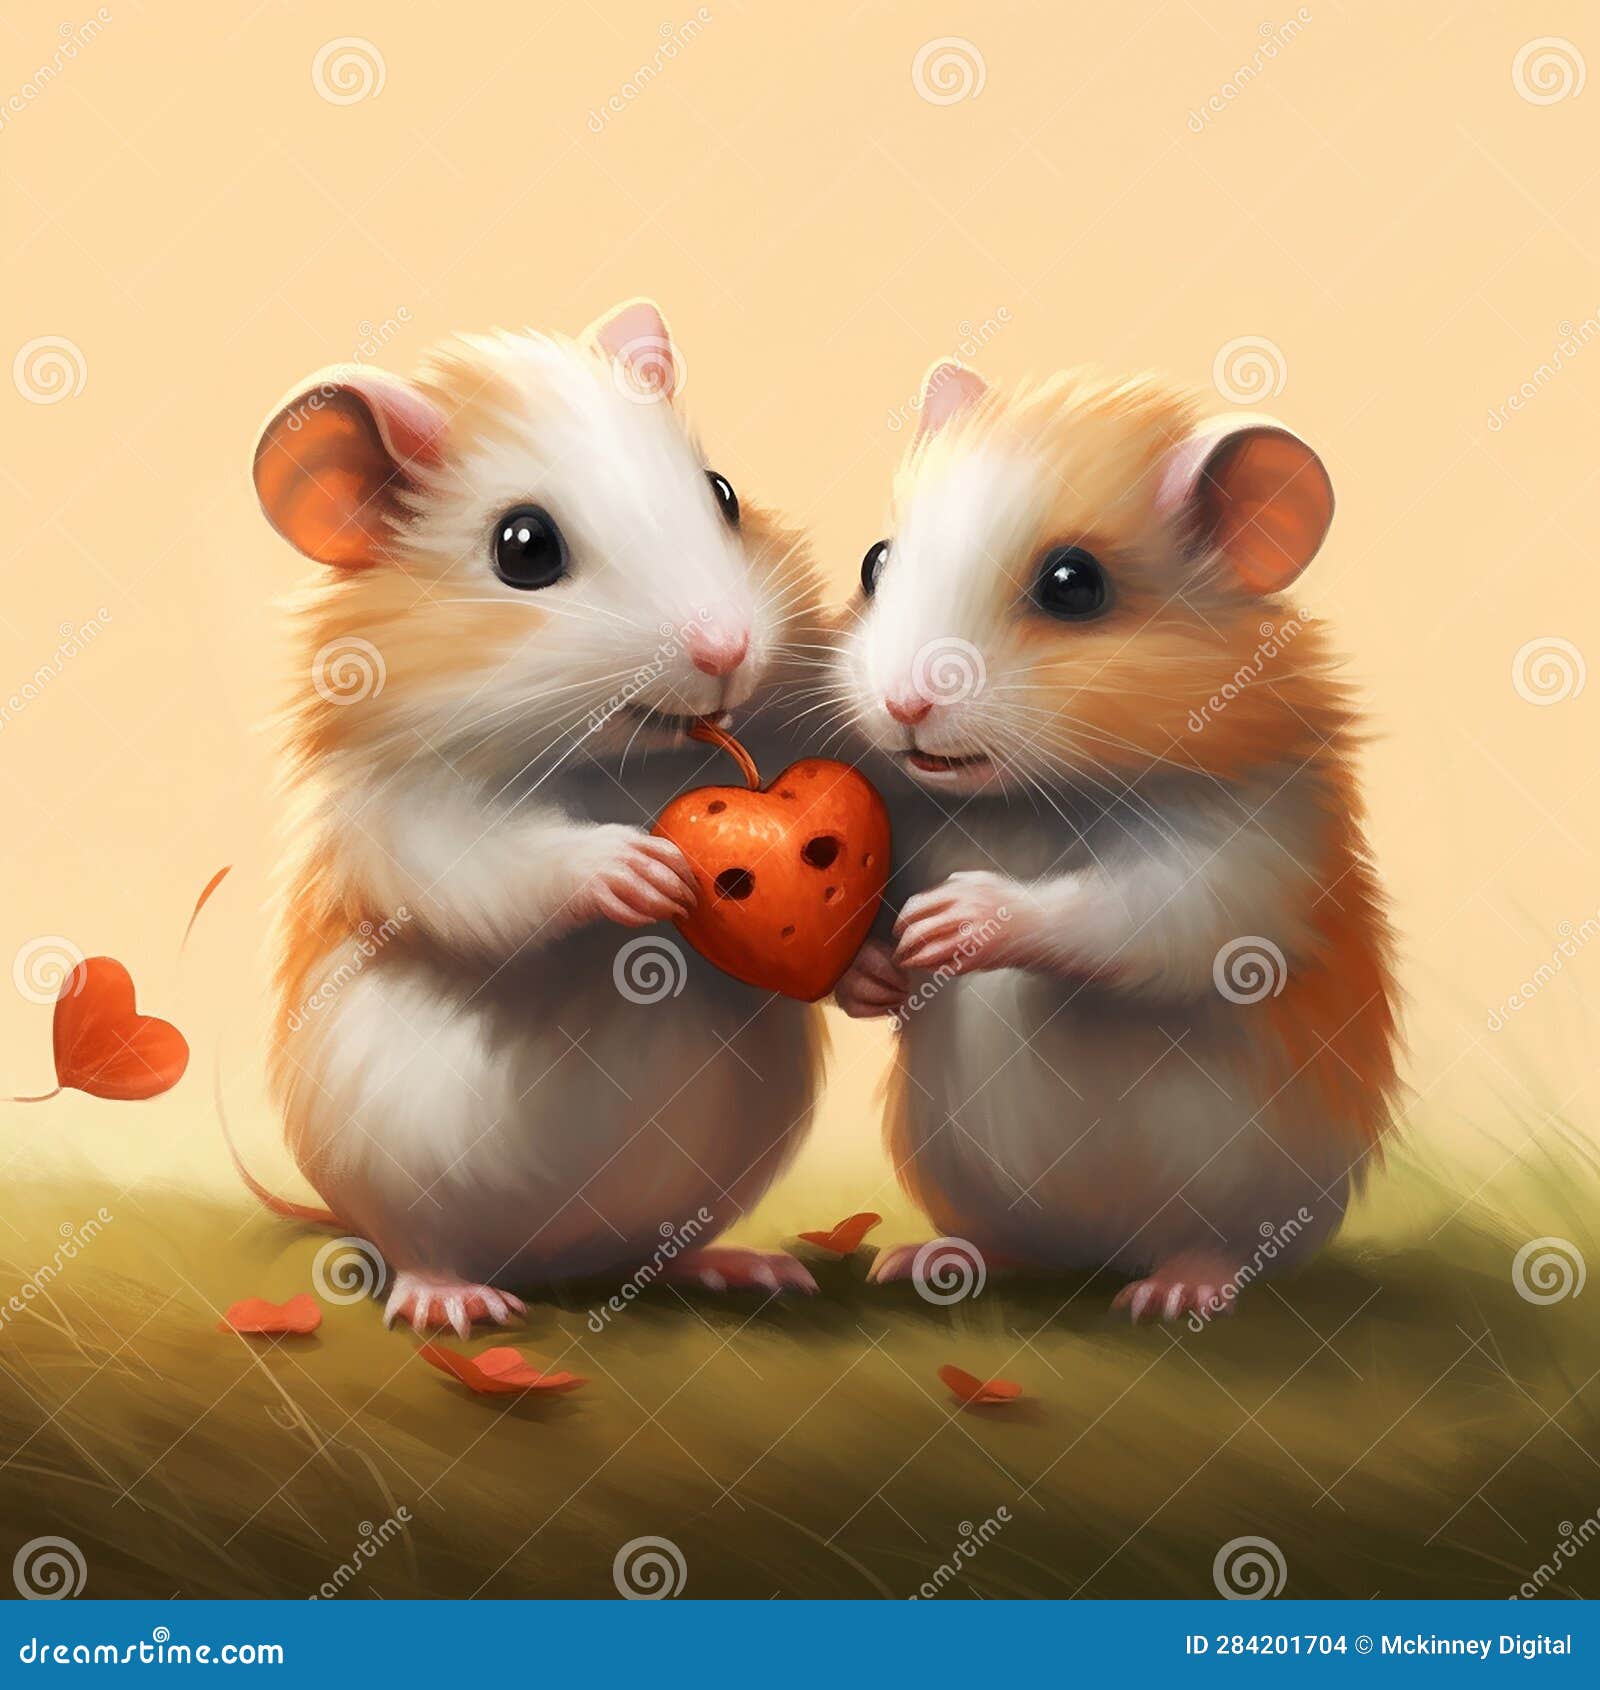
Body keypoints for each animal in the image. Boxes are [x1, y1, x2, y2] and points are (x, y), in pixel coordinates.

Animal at [251, 301, 827, 1334]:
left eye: (722, 492)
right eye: (525, 548)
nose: (729, 651)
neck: (625, 771)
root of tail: (561, 1262)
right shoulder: (403, 818)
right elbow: (496, 868)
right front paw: (637, 872)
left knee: (669, 1248)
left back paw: (747, 1270)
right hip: (389, 1170)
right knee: (421, 1249)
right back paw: (455, 1307)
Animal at [827, 361, 1400, 1322]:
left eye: (1073, 585)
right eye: (876, 561)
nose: (904, 704)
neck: (1024, 799)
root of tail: (1100, 1254)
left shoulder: (1248, 852)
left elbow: (1140, 915)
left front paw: (954, 921)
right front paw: (883, 972)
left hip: (1269, 1191)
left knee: (1231, 1248)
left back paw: (1173, 1293)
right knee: (1010, 1244)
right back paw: (921, 1260)